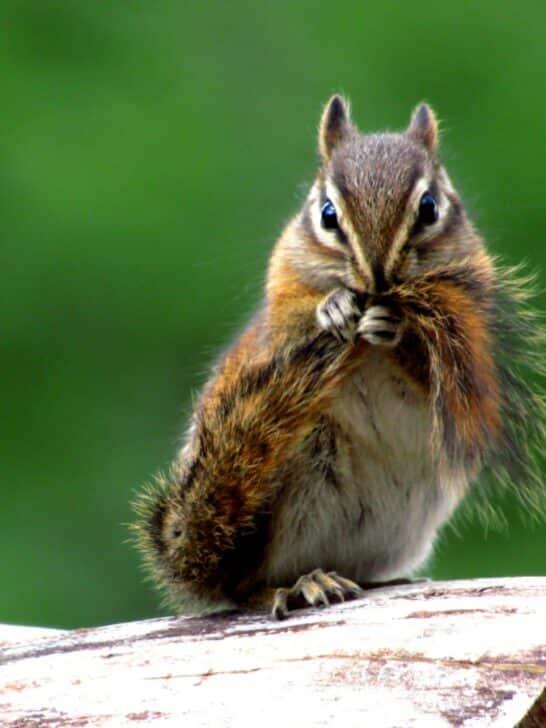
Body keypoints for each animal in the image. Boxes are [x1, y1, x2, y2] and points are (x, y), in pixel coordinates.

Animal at [133, 96, 545, 619]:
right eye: (328, 214)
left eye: (429, 207)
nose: (378, 275)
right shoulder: (277, 314)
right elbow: (293, 323)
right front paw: (331, 308)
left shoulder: (474, 334)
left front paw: (395, 329)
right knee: (247, 589)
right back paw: (300, 585)